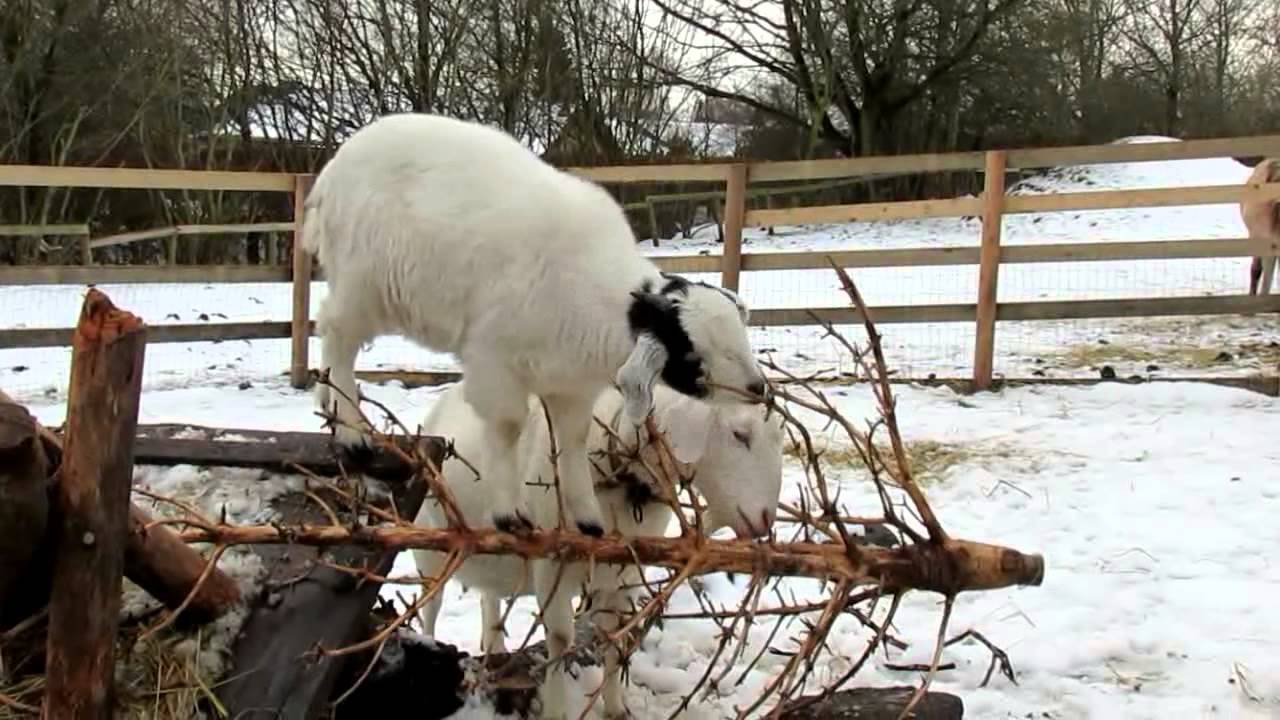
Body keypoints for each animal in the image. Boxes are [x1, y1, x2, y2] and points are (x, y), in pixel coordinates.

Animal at [301, 113, 767, 538]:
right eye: (690, 352)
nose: (758, 388)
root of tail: (329, 175)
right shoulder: (493, 360)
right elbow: (508, 427)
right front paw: (509, 514)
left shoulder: (571, 388)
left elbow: (573, 440)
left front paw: (588, 519)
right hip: (365, 282)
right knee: (336, 331)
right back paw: (350, 426)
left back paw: (329, 402)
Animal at [412, 380, 785, 719]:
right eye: (739, 434)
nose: (765, 519)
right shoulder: (552, 564)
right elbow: (560, 639)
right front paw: (557, 713)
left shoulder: (625, 570)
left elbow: (613, 634)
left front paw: (616, 708)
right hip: (432, 550)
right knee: (430, 605)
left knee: (489, 597)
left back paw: (495, 648)